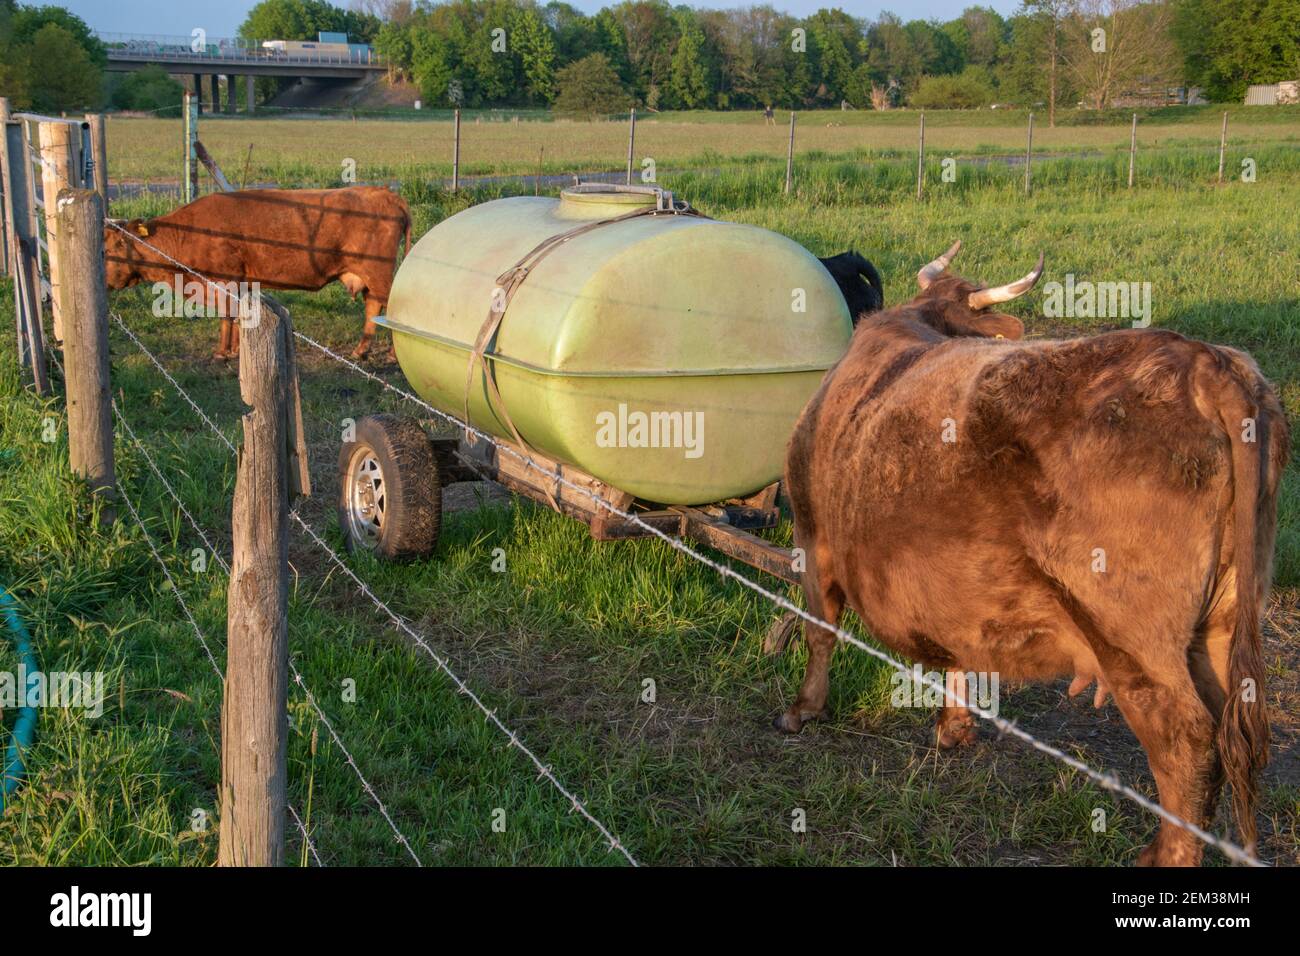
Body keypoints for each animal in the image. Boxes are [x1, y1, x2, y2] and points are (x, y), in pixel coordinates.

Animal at [104, 185, 411, 360]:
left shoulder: (224, 279)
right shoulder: (242, 282)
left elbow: (227, 315)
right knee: (373, 307)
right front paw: (235, 350)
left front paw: (223, 353)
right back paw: (361, 351)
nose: (105, 281)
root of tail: (384, 193)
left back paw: (394, 356)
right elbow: (237, 316)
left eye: (116, 245)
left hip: (379, 272)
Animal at [780, 241, 1289, 866]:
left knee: (1187, 740)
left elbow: (819, 630)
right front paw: (953, 727)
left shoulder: (813, 538)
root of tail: (1204, 359)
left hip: (1134, 636)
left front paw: (803, 710)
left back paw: (1165, 853)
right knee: (1227, 727)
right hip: (1222, 621)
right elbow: (954, 651)